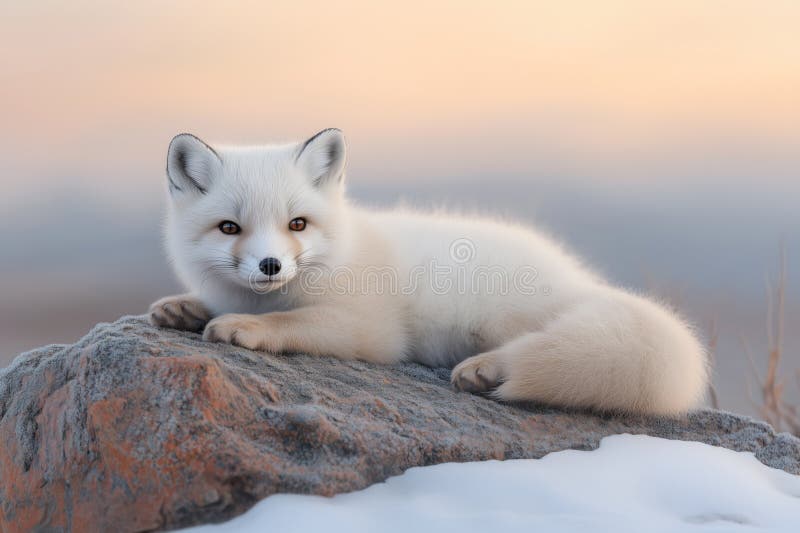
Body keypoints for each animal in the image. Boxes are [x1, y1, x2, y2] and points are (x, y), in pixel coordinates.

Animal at [149, 128, 708, 416]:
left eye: (297, 224)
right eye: (230, 228)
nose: (271, 265)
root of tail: (579, 278)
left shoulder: (372, 330)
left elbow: (289, 323)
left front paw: (243, 326)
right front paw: (184, 308)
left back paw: (489, 370)